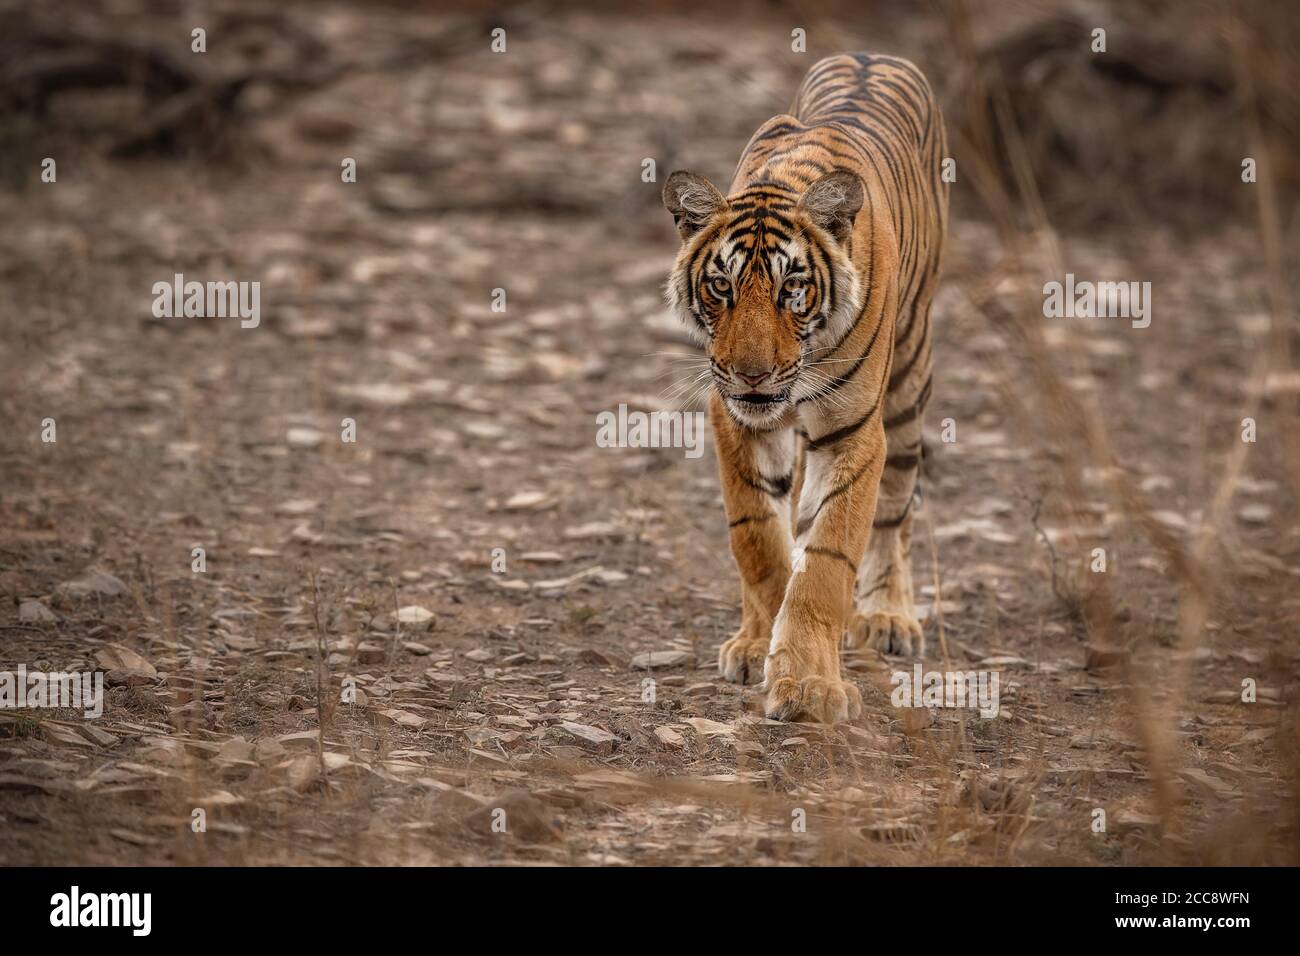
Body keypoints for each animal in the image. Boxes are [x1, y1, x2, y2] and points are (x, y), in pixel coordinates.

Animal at [661, 53, 948, 723]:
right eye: (721, 286)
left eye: (792, 287)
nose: (752, 373)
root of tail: (875, 54)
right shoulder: (735, 418)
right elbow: (759, 539)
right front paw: (764, 643)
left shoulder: (853, 431)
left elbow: (826, 560)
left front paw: (811, 684)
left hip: (908, 385)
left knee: (897, 511)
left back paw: (888, 615)